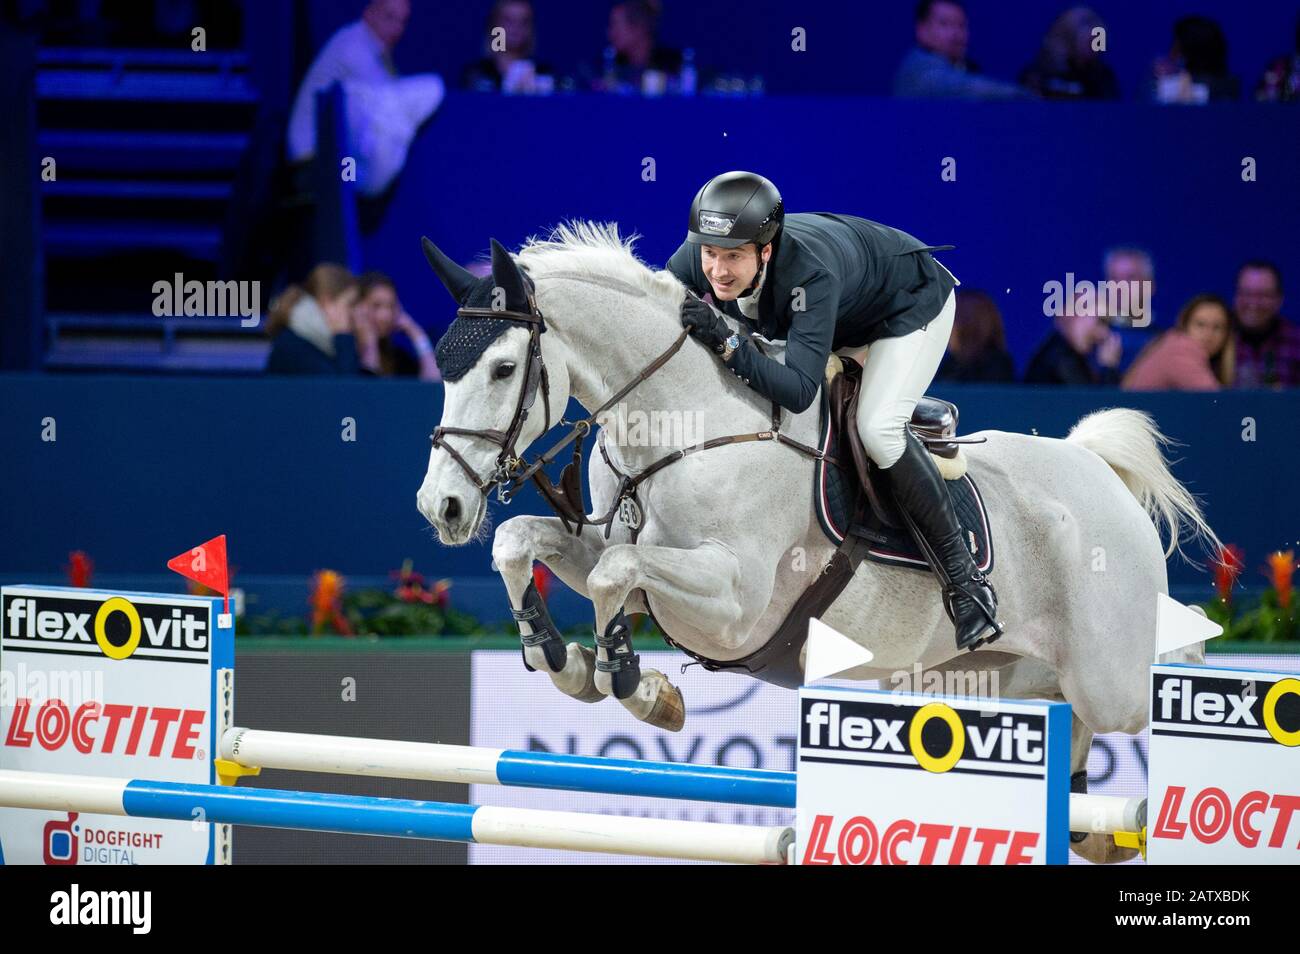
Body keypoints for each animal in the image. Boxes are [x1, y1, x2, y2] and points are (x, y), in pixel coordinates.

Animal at [415, 222, 1219, 863]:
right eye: (444, 364)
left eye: (503, 368)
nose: (441, 507)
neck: (682, 423)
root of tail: (1098, 471)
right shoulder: (618, 557)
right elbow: (524, 542)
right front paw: (568, 660)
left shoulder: (735, 604)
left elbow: (618, 570)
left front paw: (629, 681)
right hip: (997, 679)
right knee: (1074, 755)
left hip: (1110, 676)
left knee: (1155, 687)